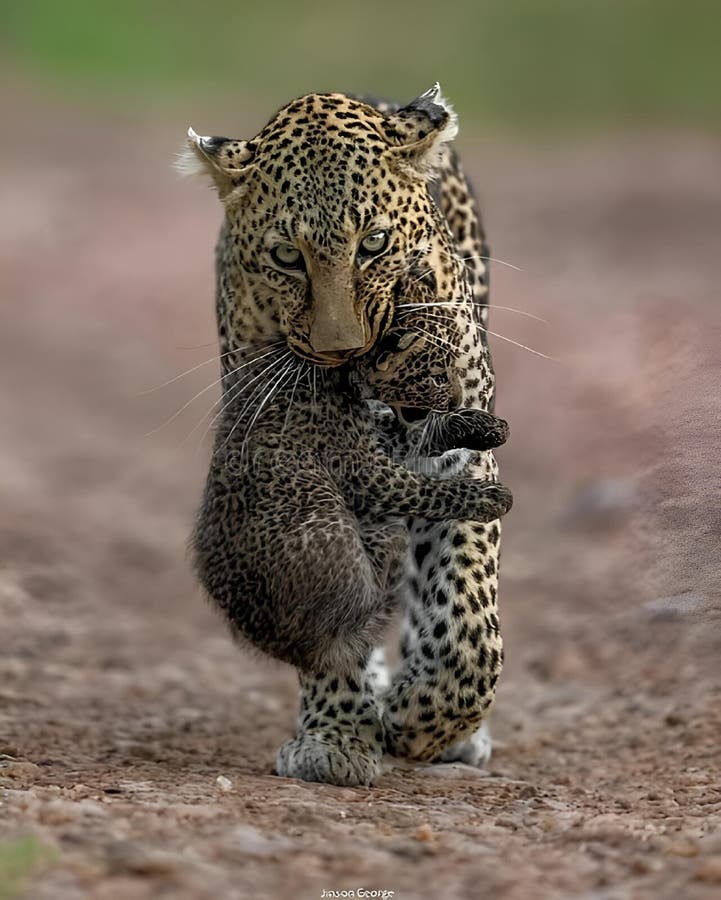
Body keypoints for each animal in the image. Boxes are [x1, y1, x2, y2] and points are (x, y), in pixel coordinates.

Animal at [180, 84, 506, 785]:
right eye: (287, 257)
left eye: (374, 243)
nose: (343, 350)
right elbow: (325, 615)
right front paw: (337, 734)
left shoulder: (458, 457)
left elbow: (468, 625)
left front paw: (423, 720)